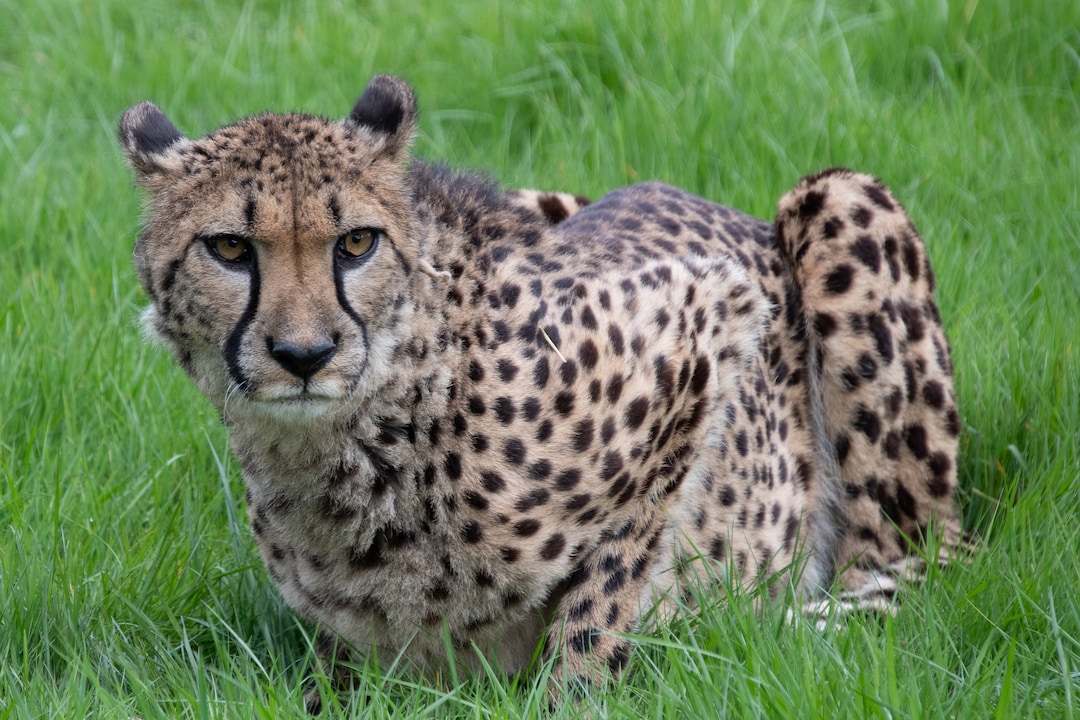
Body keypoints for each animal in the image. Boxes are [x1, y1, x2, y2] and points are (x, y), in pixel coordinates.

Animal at [118, 74, 965, 710]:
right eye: (230, 248)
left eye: (356, 242)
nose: (304, 355)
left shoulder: (702, 327)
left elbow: (601, 603)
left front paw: (583, 685)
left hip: (839, 200)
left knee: (921, 557)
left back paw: (807, 621)